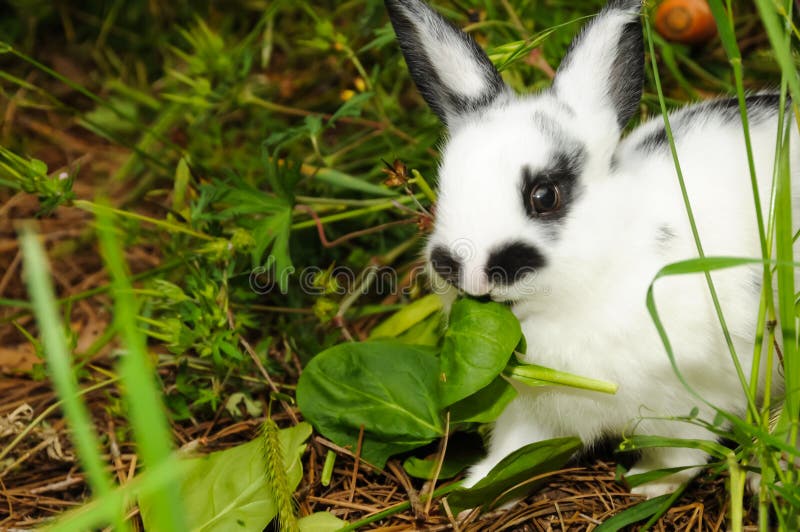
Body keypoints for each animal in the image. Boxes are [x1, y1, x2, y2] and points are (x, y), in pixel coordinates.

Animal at [384, 0, 798, 500]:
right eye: (444, 189)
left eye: (545, 196)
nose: (464, 269)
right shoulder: (531, 410)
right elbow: (511, 454)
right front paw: (473, 493)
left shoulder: (689, 401)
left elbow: (678, 455)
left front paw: (645, 487)